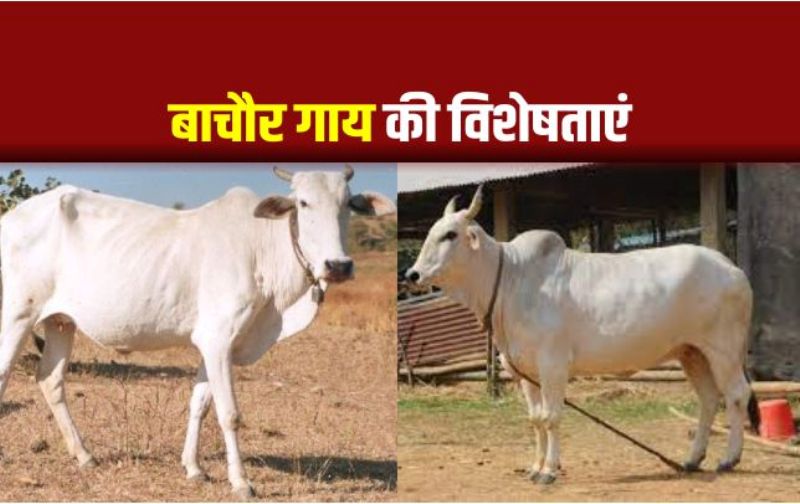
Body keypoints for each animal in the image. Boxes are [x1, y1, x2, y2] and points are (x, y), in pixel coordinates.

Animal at [0, 166, 395, 498]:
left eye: (348, 204)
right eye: (303, 202)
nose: (338, 265)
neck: (263, 249)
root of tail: (11, 216)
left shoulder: (214, 343)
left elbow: (200, 404)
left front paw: (193, 468)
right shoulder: (219, 338)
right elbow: (229, 413)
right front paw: (241, 482)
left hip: (60, 321)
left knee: (51, 380)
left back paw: (83, 454)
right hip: (19, 312)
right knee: (5, 374)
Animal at [405, 184, 759, 484]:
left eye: (450, 234)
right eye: (431, 232)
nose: (412, 274)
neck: (511, 280)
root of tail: (731, 267)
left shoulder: (553, 365)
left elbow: (551, 417)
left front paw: (549, 471)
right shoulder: (523, 371)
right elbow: (535, 418)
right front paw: (535, 467)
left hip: (723, 350)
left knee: (736, 395)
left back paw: (729, 459)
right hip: (691, 352)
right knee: (709, 399)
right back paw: (693, 458)